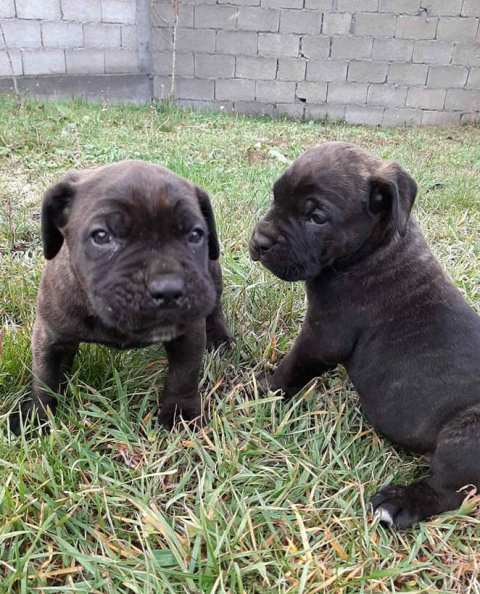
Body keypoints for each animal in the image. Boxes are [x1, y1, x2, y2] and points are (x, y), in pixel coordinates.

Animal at [249, 142, 480, 528]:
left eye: (317, 217)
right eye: (275, 195)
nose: (259, 240)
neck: (375, 249)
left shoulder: (323, 336)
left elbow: (292, 367)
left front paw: (261, 389)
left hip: (466, 434)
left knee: (451, 492)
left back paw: (399, 503)